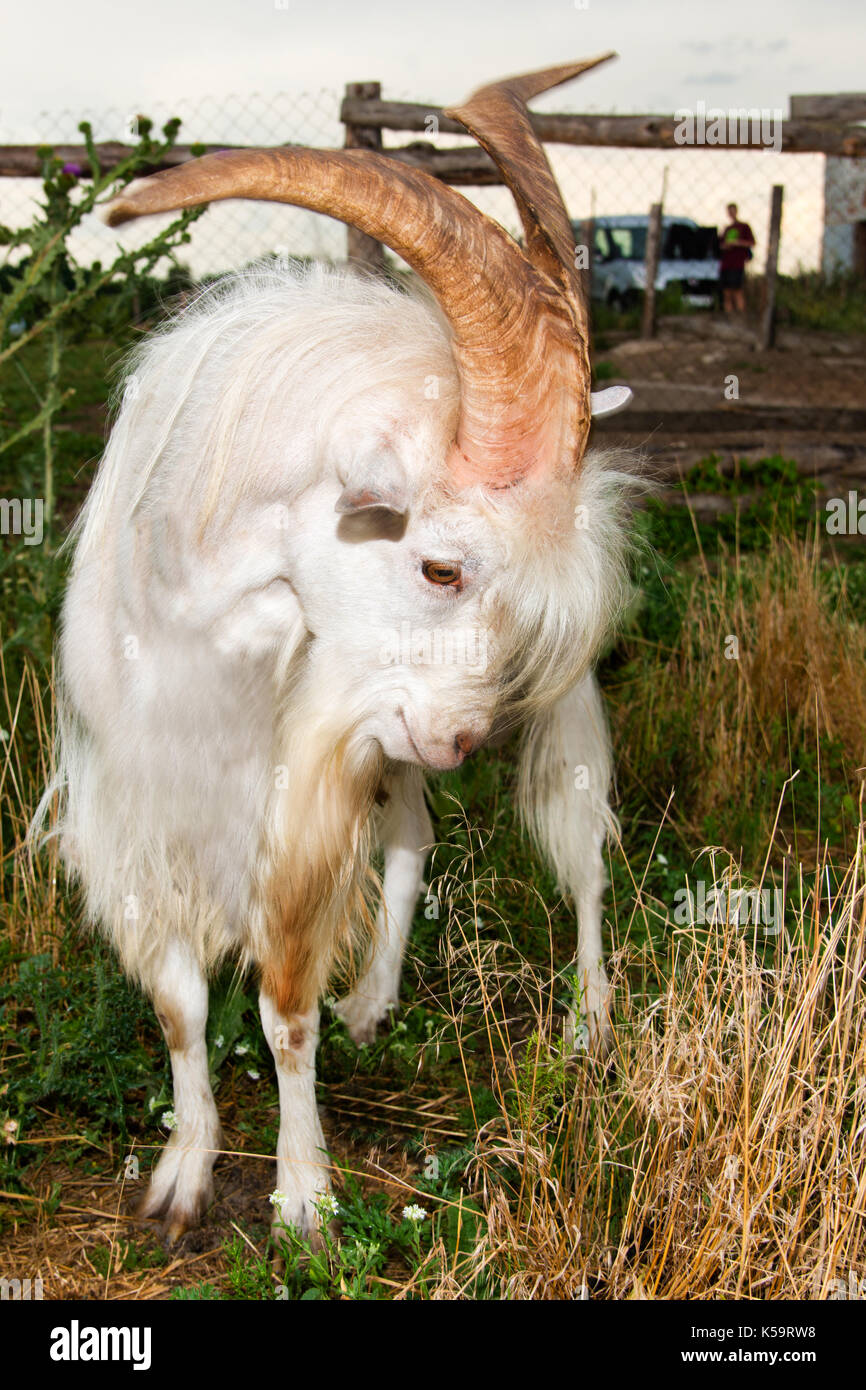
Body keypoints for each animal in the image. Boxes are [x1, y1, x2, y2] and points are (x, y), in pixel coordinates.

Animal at [45, 54, 637, 1244]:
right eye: (441, 567)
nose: (464, 738)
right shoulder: (145, 798)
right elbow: (179, 1004)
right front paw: (182, 1173)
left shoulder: (305, 788)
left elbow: (281, 1003)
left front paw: (306, 1198)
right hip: (382, 737)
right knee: (412, 836)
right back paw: (375, 1000)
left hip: (524, 713)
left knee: (581, 841)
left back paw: (589, 1021)